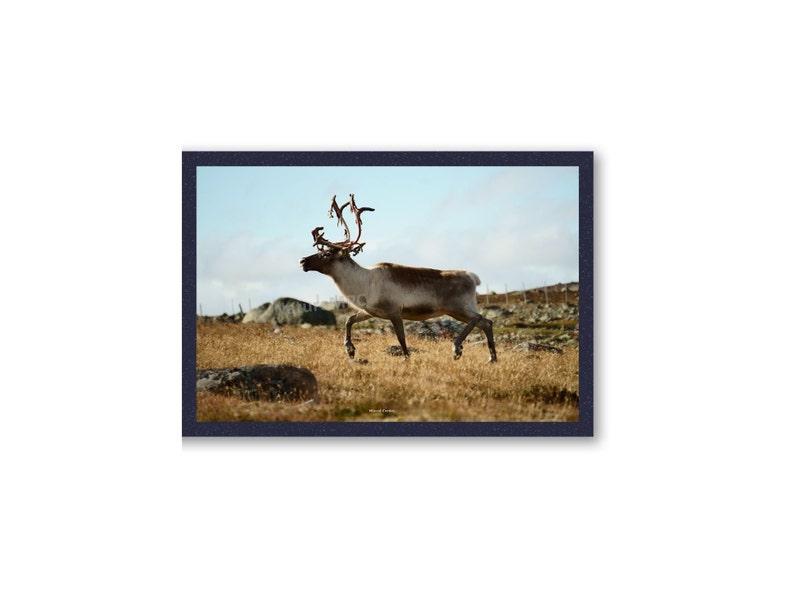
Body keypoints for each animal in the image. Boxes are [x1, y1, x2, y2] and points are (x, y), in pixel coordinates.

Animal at [299, 194, 497, 362]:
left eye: (327, 253)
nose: (302, 261)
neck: (363, 283)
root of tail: (473, 278)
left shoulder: (394, 310)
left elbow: (401, 337)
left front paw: (407, 358)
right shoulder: (370, 311)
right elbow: (349, 320)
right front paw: (350, 349)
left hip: (458, 307)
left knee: (479, 318)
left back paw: (457, 348)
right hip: (458, 310)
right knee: (486, 322)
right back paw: (492, 358)